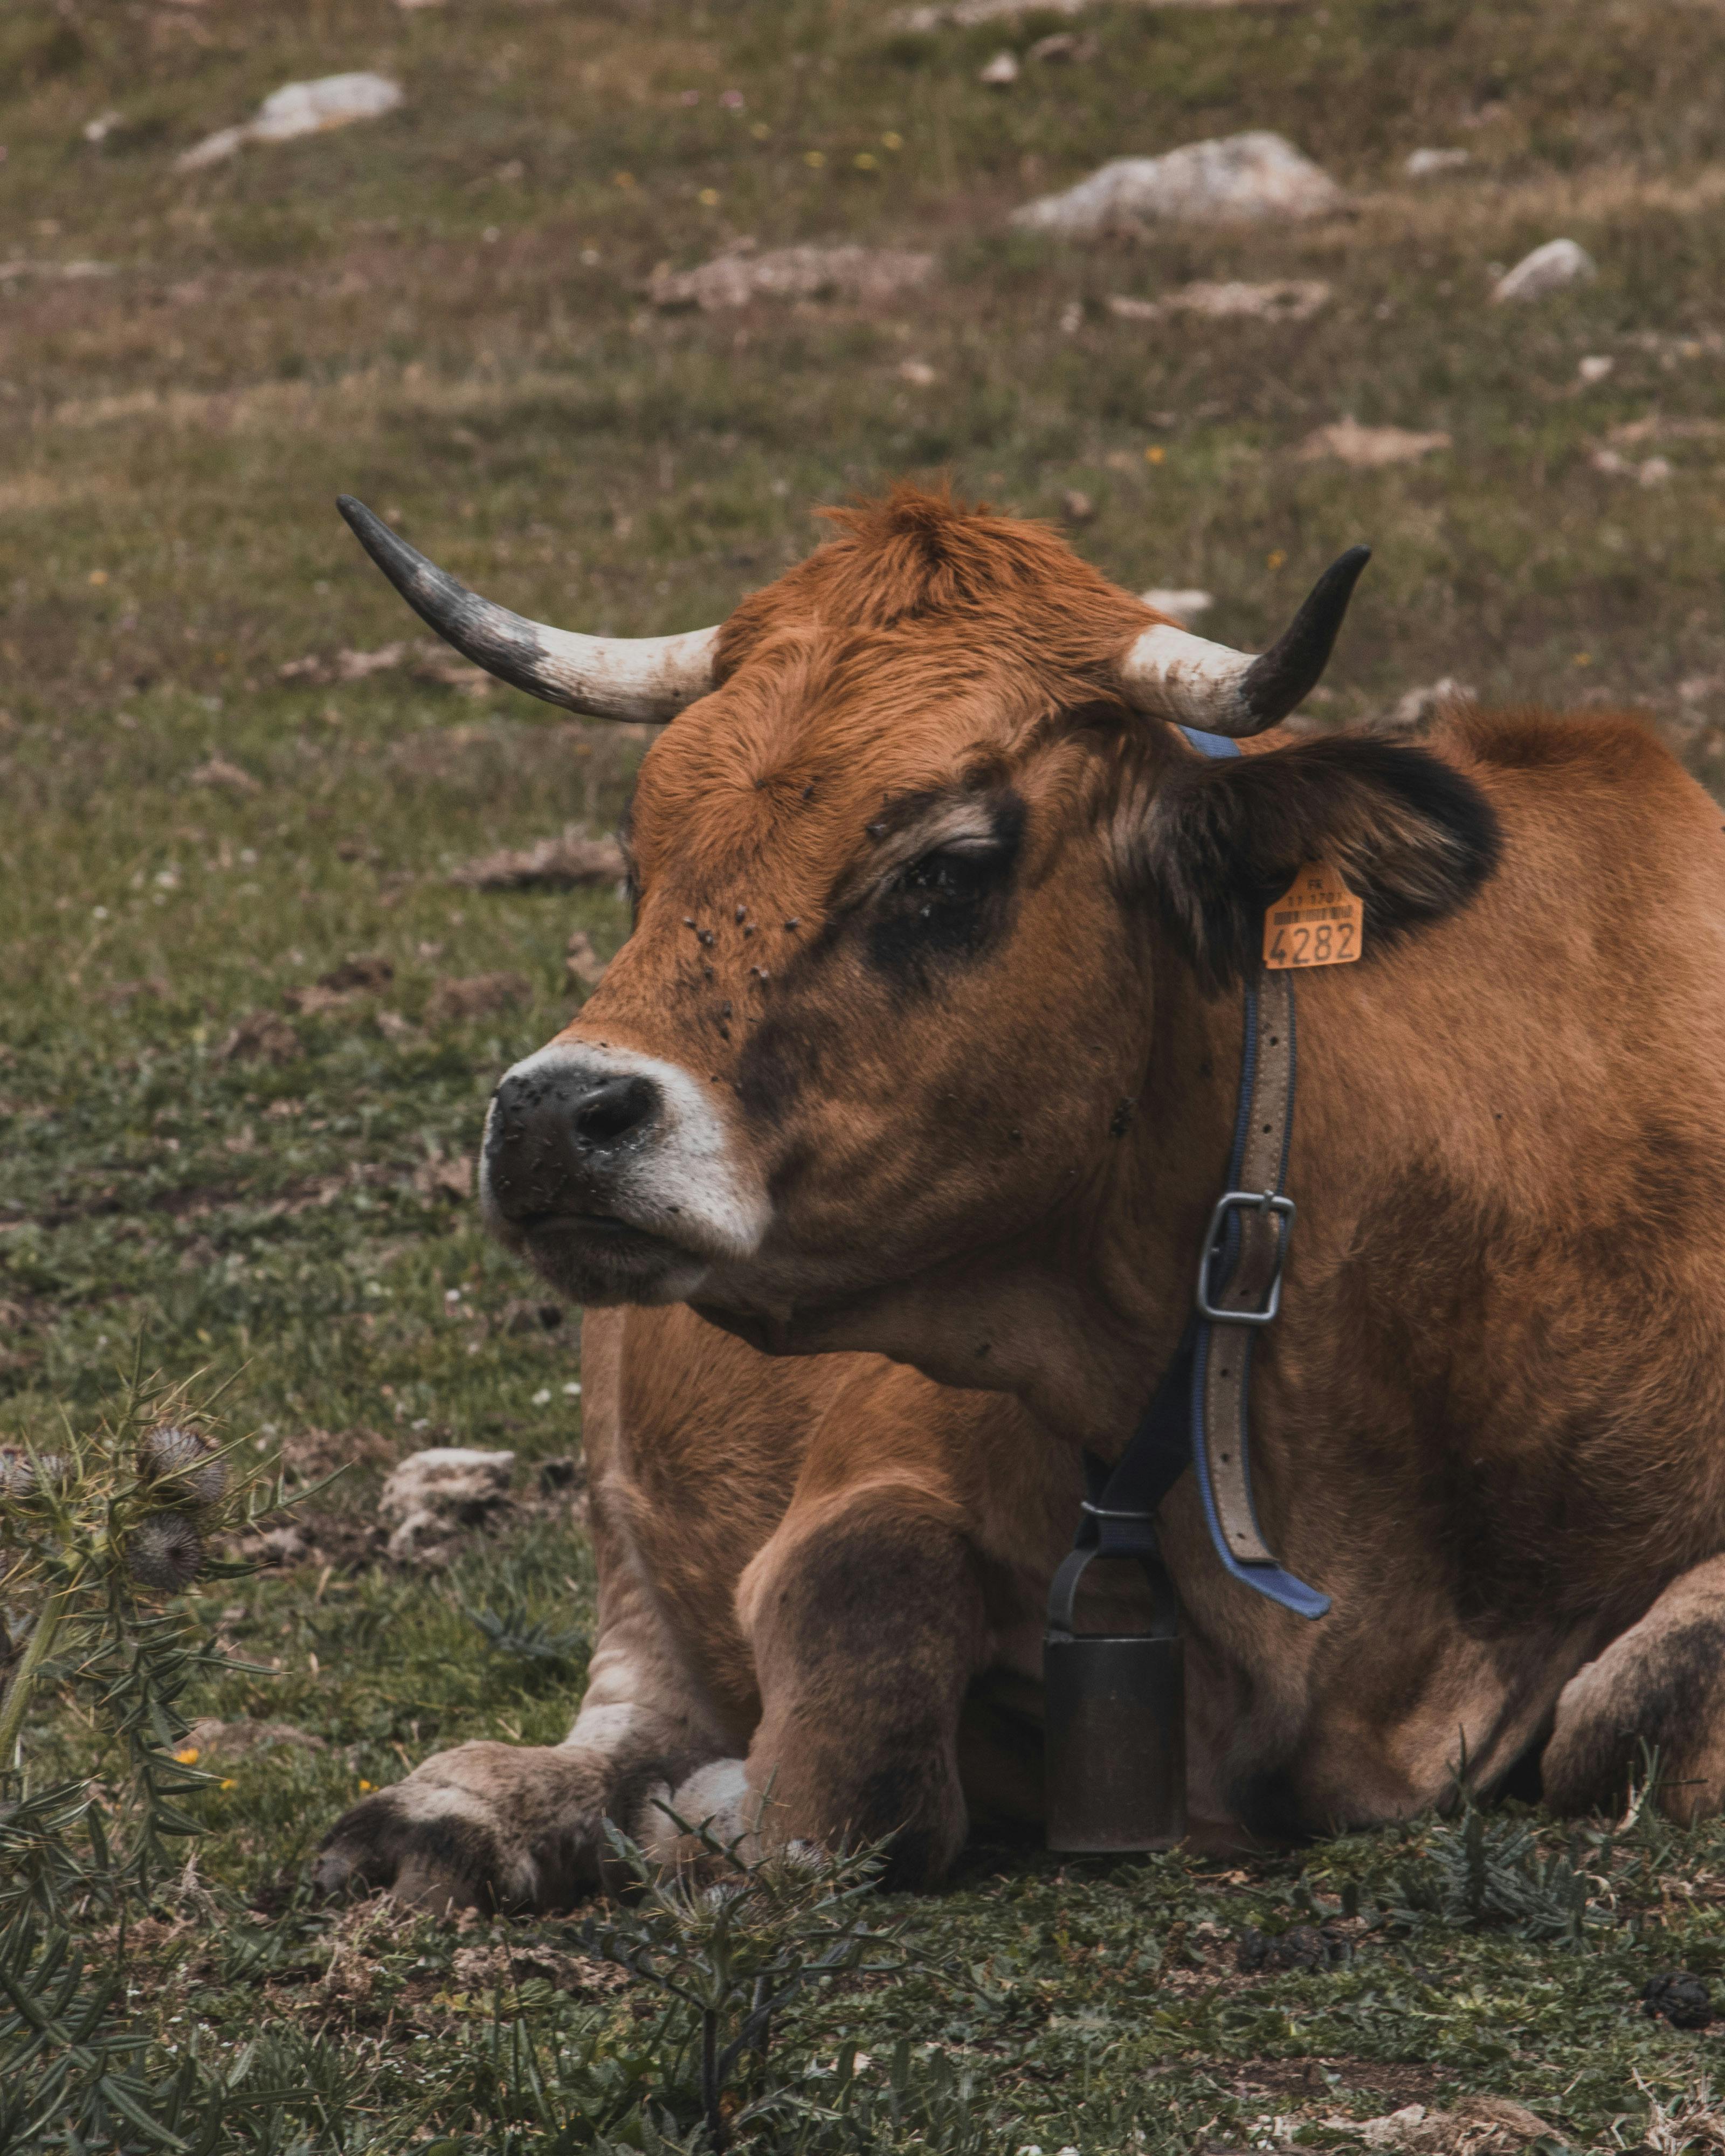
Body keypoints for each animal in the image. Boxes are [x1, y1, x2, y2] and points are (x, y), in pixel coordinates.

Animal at [314, 482, 1725, 1915]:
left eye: (946, 865)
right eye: (638, 856)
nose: (555, 1115)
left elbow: (1639, 1695)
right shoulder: (878, 1451)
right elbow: (862, 1656)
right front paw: (703, 1809)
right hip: (617, 1487)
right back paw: (472, 1804)